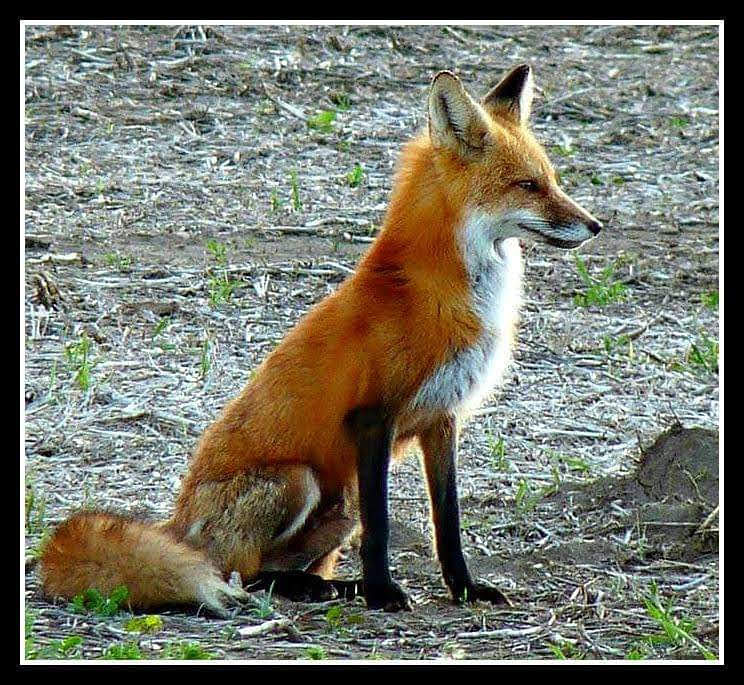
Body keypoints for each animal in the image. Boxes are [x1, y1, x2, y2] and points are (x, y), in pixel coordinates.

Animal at [38, 64, 602, 615]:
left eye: (552, 181)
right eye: (529, 185)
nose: (595, 225)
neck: (447, 294)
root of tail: (176, 525)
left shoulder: (442, 418)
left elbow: (449, 523)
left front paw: (463, 589)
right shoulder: (374, 415)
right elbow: (381, 527)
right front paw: (383, 593)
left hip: (341, 501)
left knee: (279, 567)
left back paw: (328, 586)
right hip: (298, 480)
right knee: (241, 572)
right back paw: (314, 589)